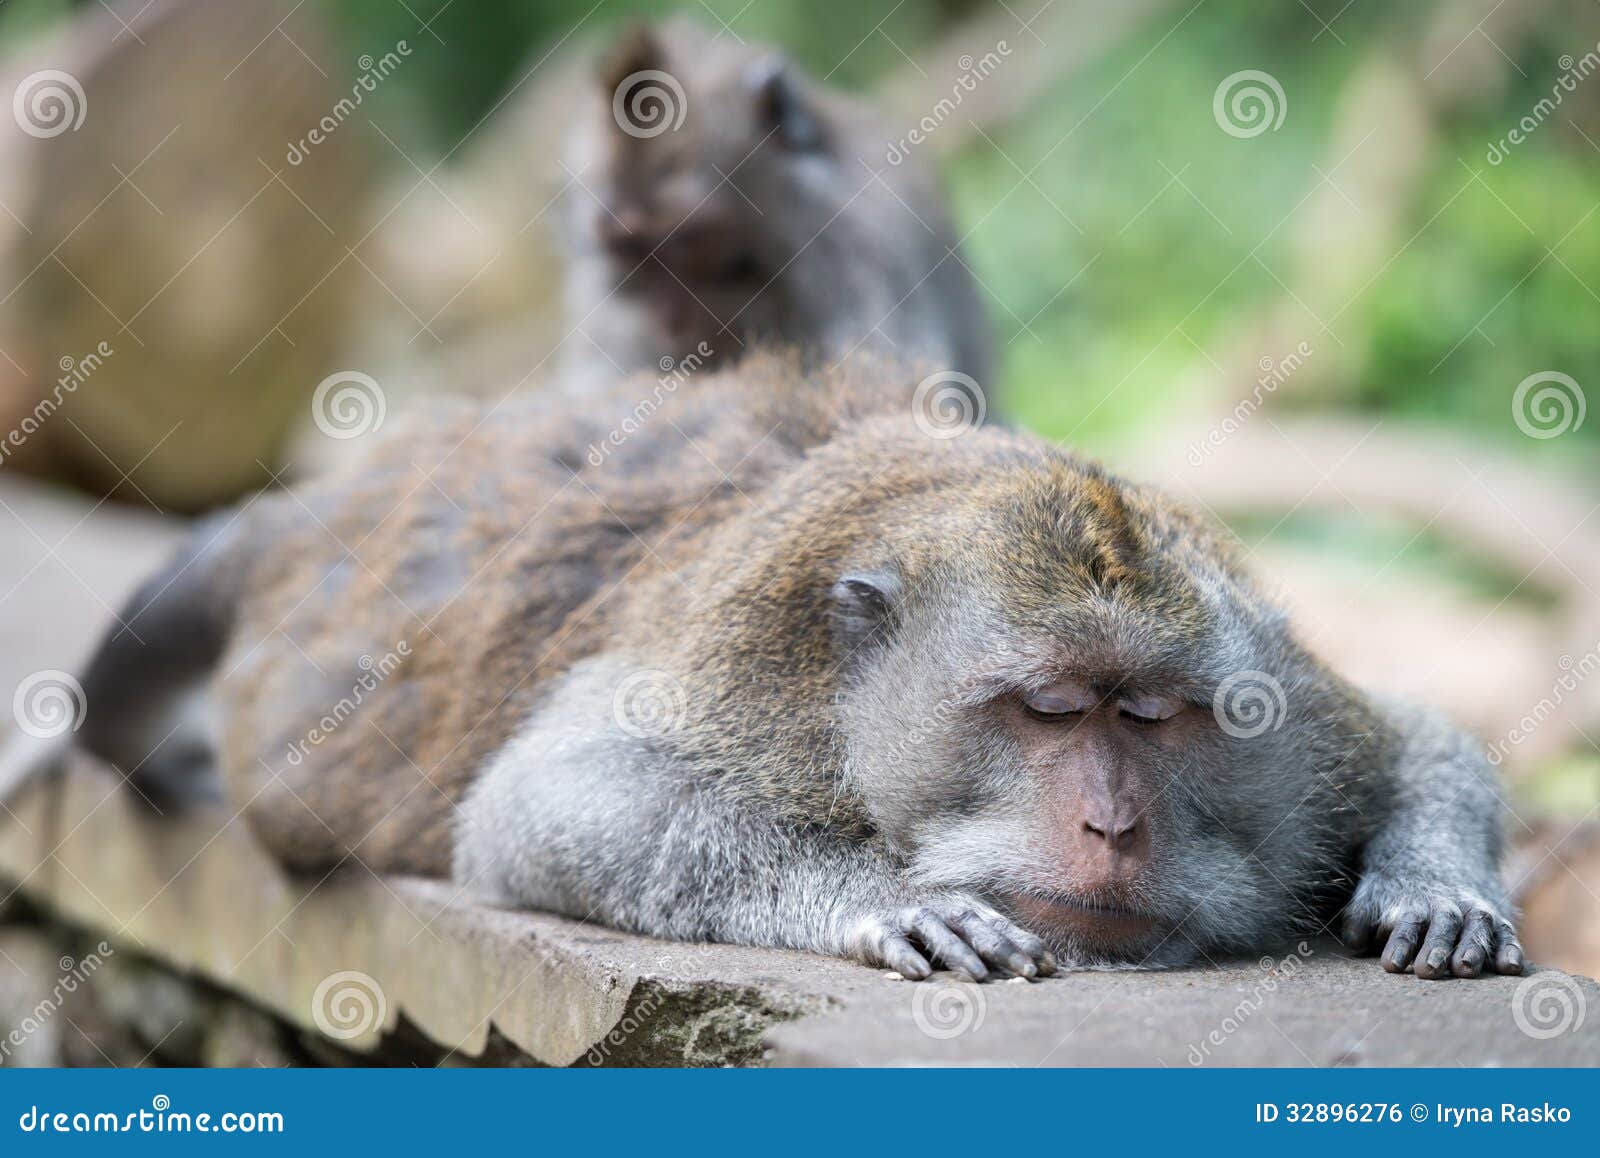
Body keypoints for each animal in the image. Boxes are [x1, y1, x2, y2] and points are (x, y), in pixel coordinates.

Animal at [52, 352, 1521, 982]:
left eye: (1154, 716)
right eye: (1049, 709)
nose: (1113, 823)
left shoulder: (1301, 721)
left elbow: (1414, 736)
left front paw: (1436, 886)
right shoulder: (750, 687)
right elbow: (548, 802)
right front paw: (886, 900)